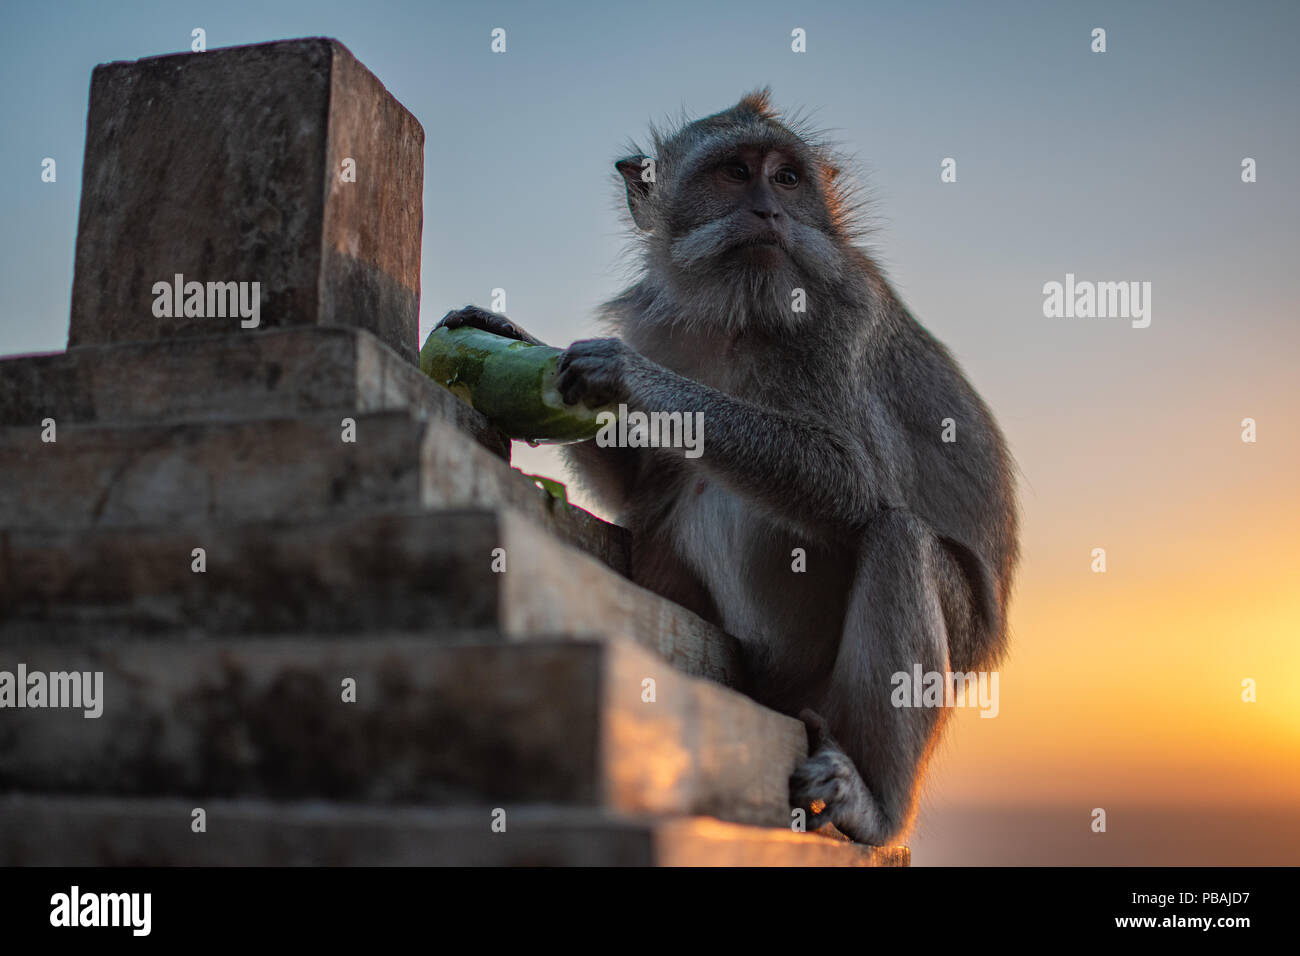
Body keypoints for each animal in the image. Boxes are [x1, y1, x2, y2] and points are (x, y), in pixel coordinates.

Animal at [437, 89, 1018, 845]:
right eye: (736, 172)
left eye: (789, 179)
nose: (770, 211)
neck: (736, 308)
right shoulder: (662, 318)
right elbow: (639, 482)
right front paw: (515, 342)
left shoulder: (836, 326)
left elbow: (852, 480)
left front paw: (627, 374)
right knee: (677, 502)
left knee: (898, 536)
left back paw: (873, 804)